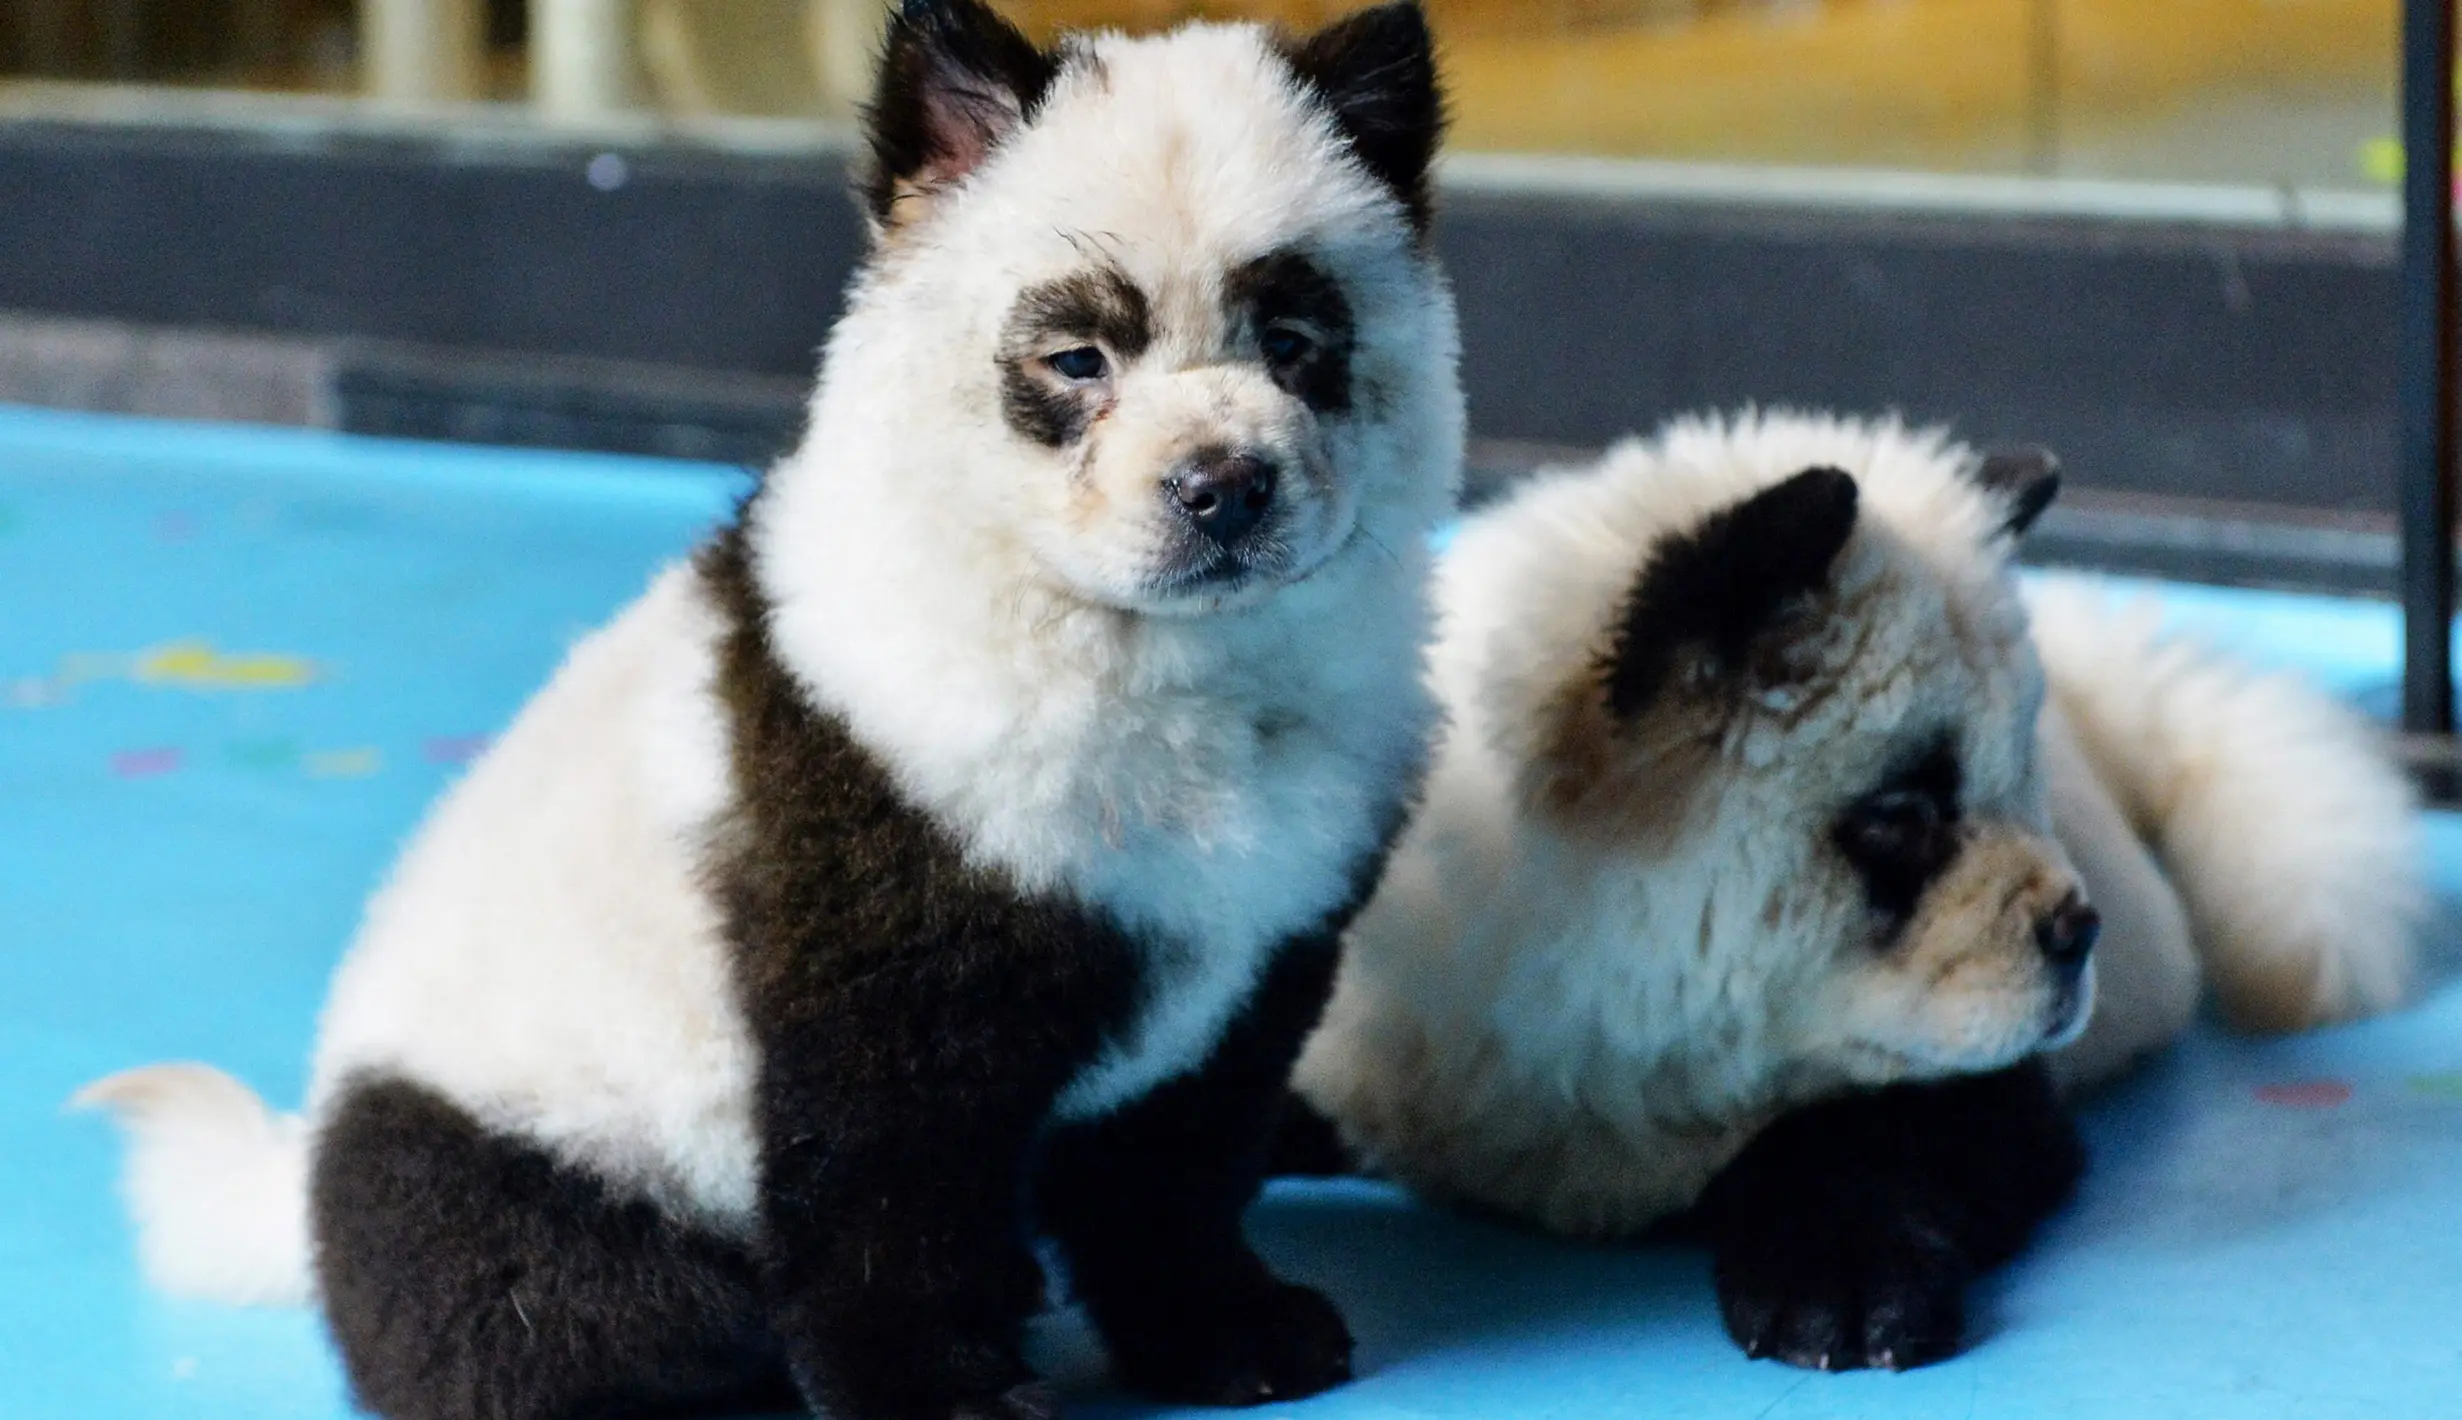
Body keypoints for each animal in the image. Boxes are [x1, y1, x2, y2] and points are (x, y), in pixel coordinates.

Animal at [79, 5, 1464, 1419]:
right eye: (1077, 360)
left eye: (1292, 342)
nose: (1223, 486)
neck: (1154, 652)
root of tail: (307, 1175)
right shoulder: (879, 874)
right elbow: (884, 1183)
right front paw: (937, 1391)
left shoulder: (1268, 924)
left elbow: (1179, 1155)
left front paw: (1225, 1327)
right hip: (529, 1163)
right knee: (553, 1320)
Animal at [1290, 408, 2421, 1373]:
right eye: (1900, 817)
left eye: (2021, 780)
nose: (2076, 929)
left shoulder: (1980, 1081)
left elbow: (1885, 1131)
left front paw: (1840, 1290)